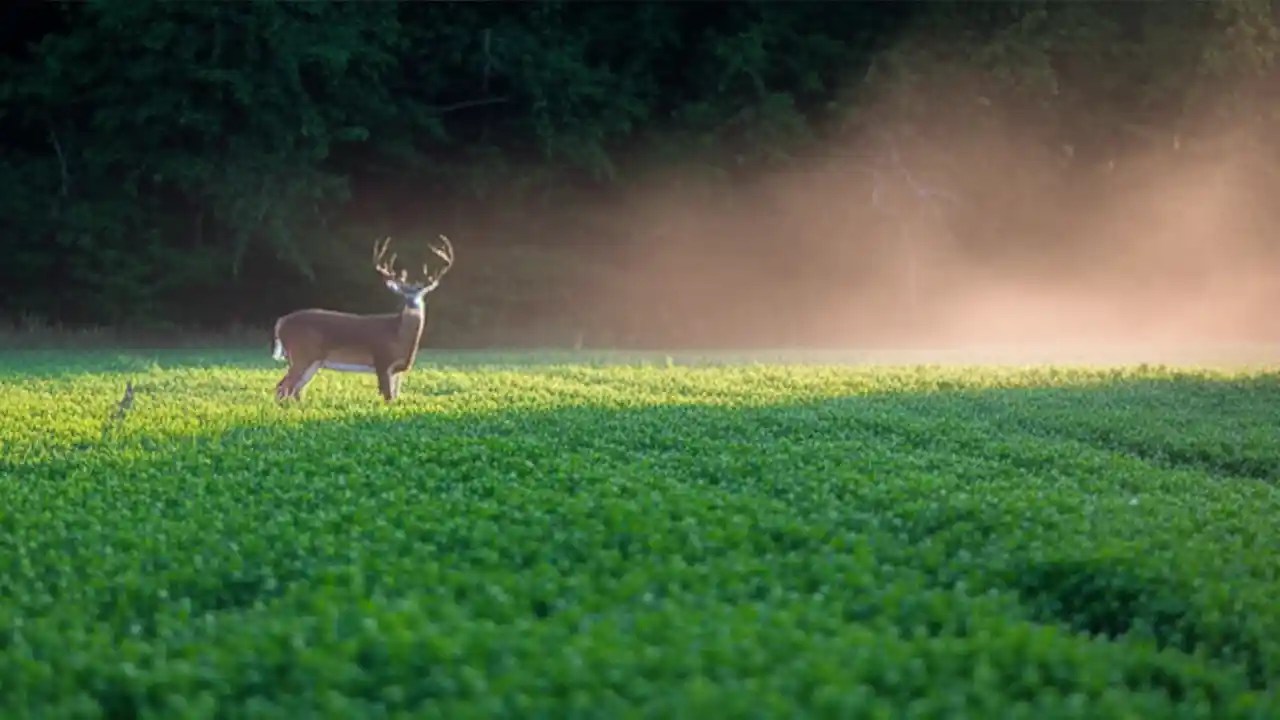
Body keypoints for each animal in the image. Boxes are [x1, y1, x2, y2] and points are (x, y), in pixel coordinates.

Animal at [271, 234, 455, 403]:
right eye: (403, 293)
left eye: (421, 293)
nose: (412, 303)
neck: (398, 337)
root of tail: (280, 323)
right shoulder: (381, 361)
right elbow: (387, 396)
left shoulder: (398, 371)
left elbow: (395, 396)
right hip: (301, 353)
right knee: (283, 386)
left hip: (313, 360)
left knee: (294, 389)